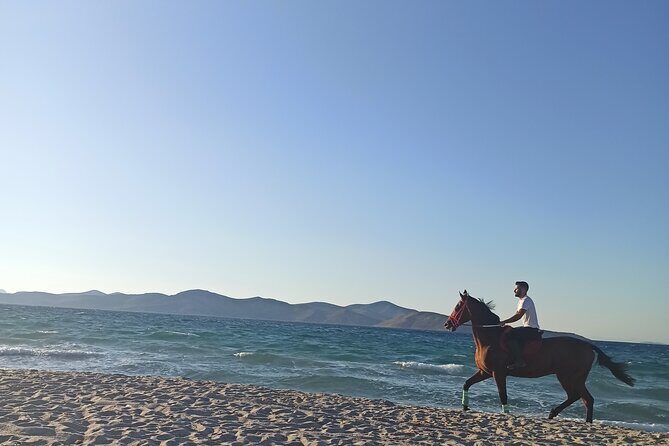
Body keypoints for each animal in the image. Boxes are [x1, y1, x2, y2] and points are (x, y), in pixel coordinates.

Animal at [443, 290, 634, 422]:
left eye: (458, 306)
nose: (447, 324)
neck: (491, 339)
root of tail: (588, 345)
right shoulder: (485, 372)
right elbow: (466, 383)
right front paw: (465, 406)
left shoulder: (499, 373)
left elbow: (503, 395)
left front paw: (506, 414)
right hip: (574, 377)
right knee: (585, 399)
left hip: (568, 376)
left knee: (580, 397)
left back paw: (555, 413)